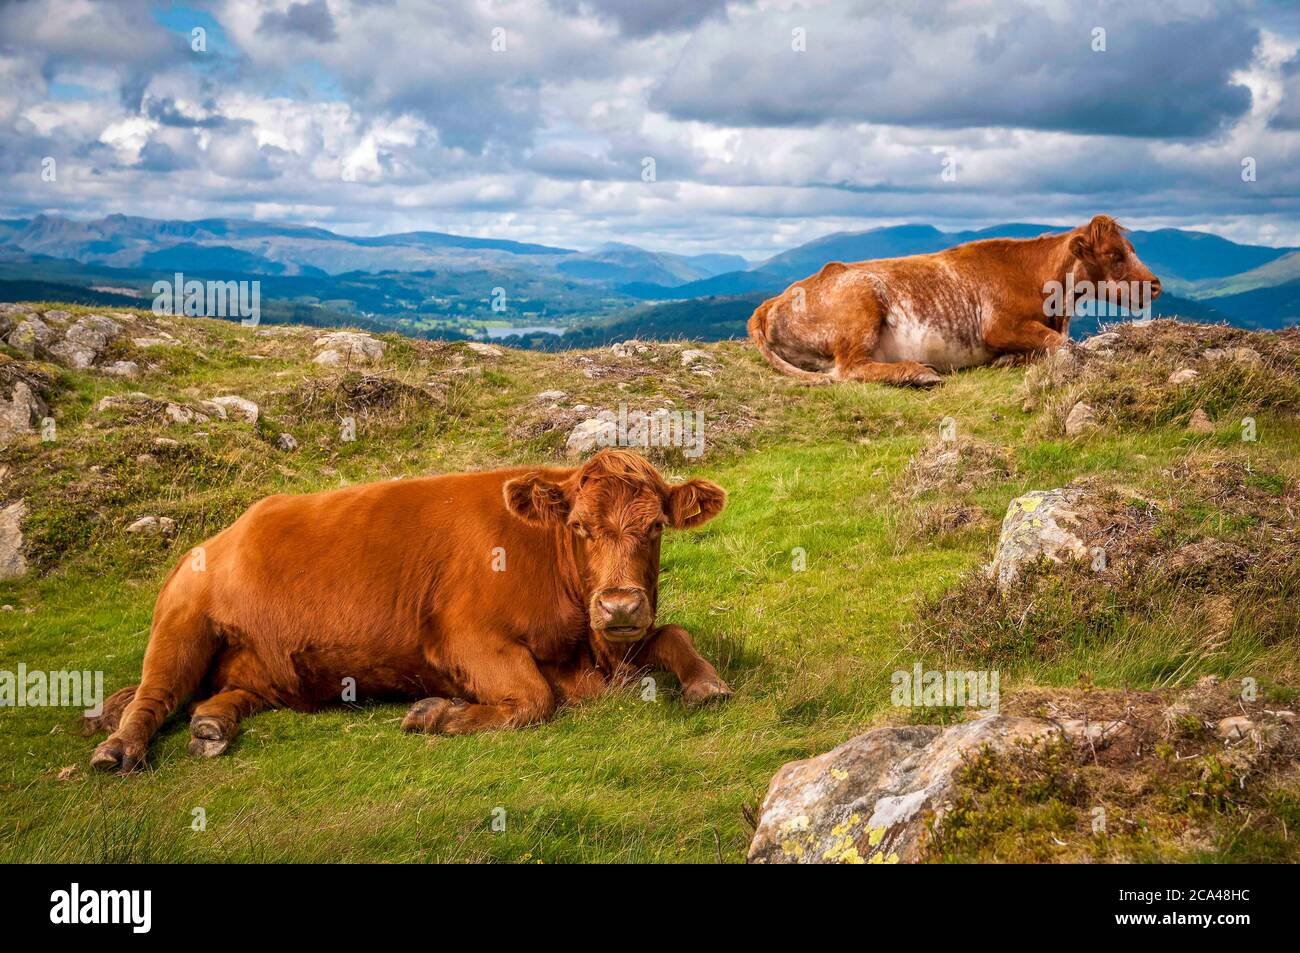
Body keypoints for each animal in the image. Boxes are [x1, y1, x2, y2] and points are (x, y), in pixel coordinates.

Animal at [87, 449, 731, 773]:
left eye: (655, 527)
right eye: (578, 527)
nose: (619, 604)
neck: (585, 651)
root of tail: (221, 533)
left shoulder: (617, 641)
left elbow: (673, 633)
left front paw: (707, 683)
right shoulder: (463, 637)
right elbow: (533, 699)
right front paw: (435, 713)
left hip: (261, 668)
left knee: (219, 695)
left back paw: (210, 725)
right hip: (182, 622)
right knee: (154, 695)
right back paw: (118, 746)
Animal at [748, 215, 1161, 386]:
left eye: (1131, 248)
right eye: (1114, 255)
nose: (1155, 285)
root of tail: (771, 303)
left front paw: (1009, 360)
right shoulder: (998, 326)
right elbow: (1060, 343)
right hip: (861, 303)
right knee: (849, 368)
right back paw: (916, 373)